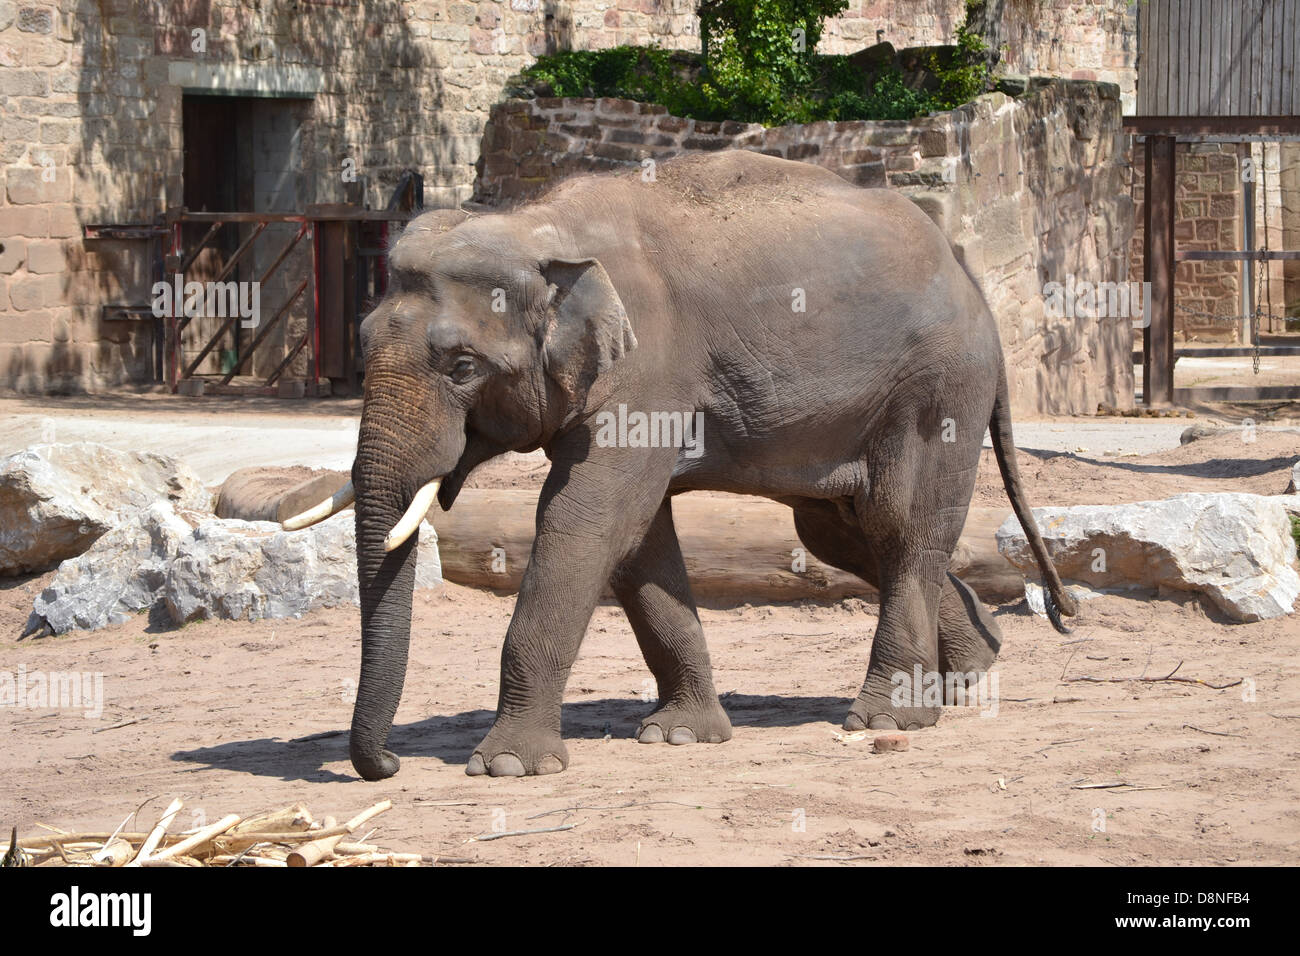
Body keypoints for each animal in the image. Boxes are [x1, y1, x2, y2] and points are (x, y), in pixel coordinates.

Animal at [283, 149, 1077, 781]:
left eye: (463, 365)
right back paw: (973, 673)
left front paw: (507, 766)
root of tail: (965, 266)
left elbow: (586, 516)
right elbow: (637, 537)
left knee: (899, 524)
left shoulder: (646, 365)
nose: (387, 764)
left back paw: (888, 718)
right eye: (361, 339)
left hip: (938, 383)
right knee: (842, 532)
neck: (539, 225)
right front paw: (680, 736)